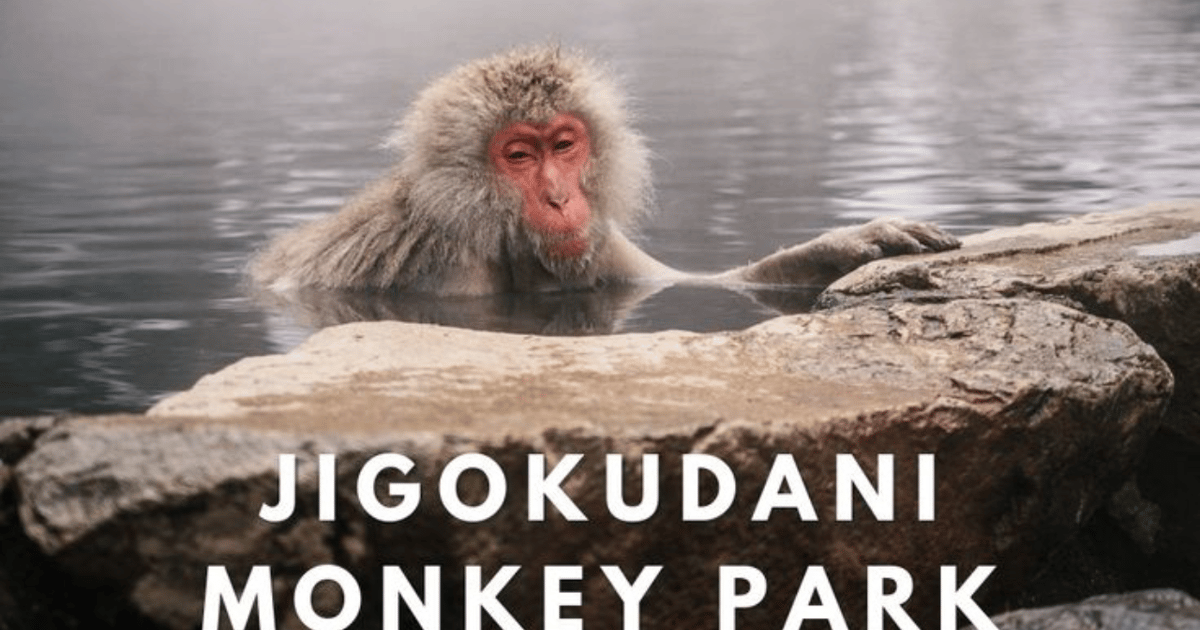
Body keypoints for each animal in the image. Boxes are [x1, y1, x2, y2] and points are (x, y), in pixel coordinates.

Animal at [250, 45, 959, 304]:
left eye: (564, 145)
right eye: (519, 156)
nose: (560, 196)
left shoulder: (595, 241)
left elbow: (677, 283)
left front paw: (840, 246)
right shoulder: (449, 268)